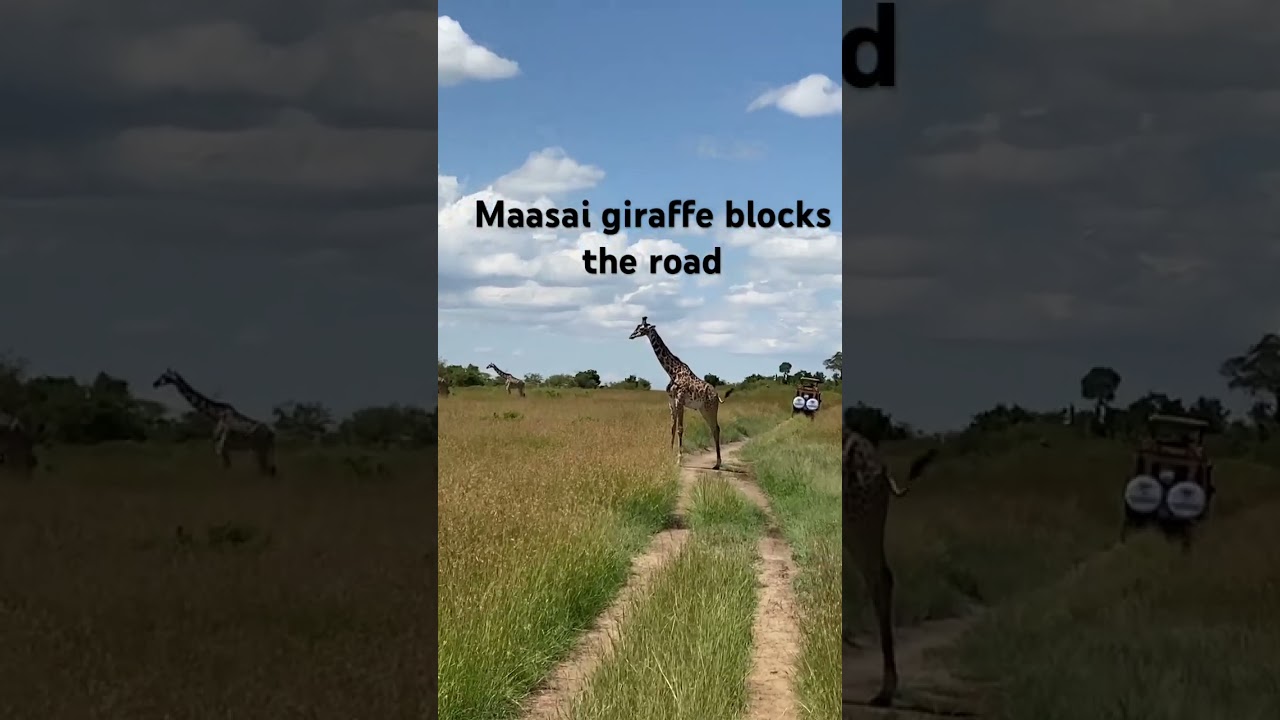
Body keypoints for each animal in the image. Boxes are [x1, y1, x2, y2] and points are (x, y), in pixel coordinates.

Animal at [628, 316, 734, 469]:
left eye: (642, 329)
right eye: (636, 327)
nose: (631, 335)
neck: (672, 372)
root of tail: (717, 395)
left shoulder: (680, 400)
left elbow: (680, 429)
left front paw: (679, 460)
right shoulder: (671, 402)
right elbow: (672, 428)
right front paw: (668, 455)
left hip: (711, 408)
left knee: (716, 428)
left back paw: (718, 463)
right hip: (703, 409)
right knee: (714, 428)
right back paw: (716, 463)